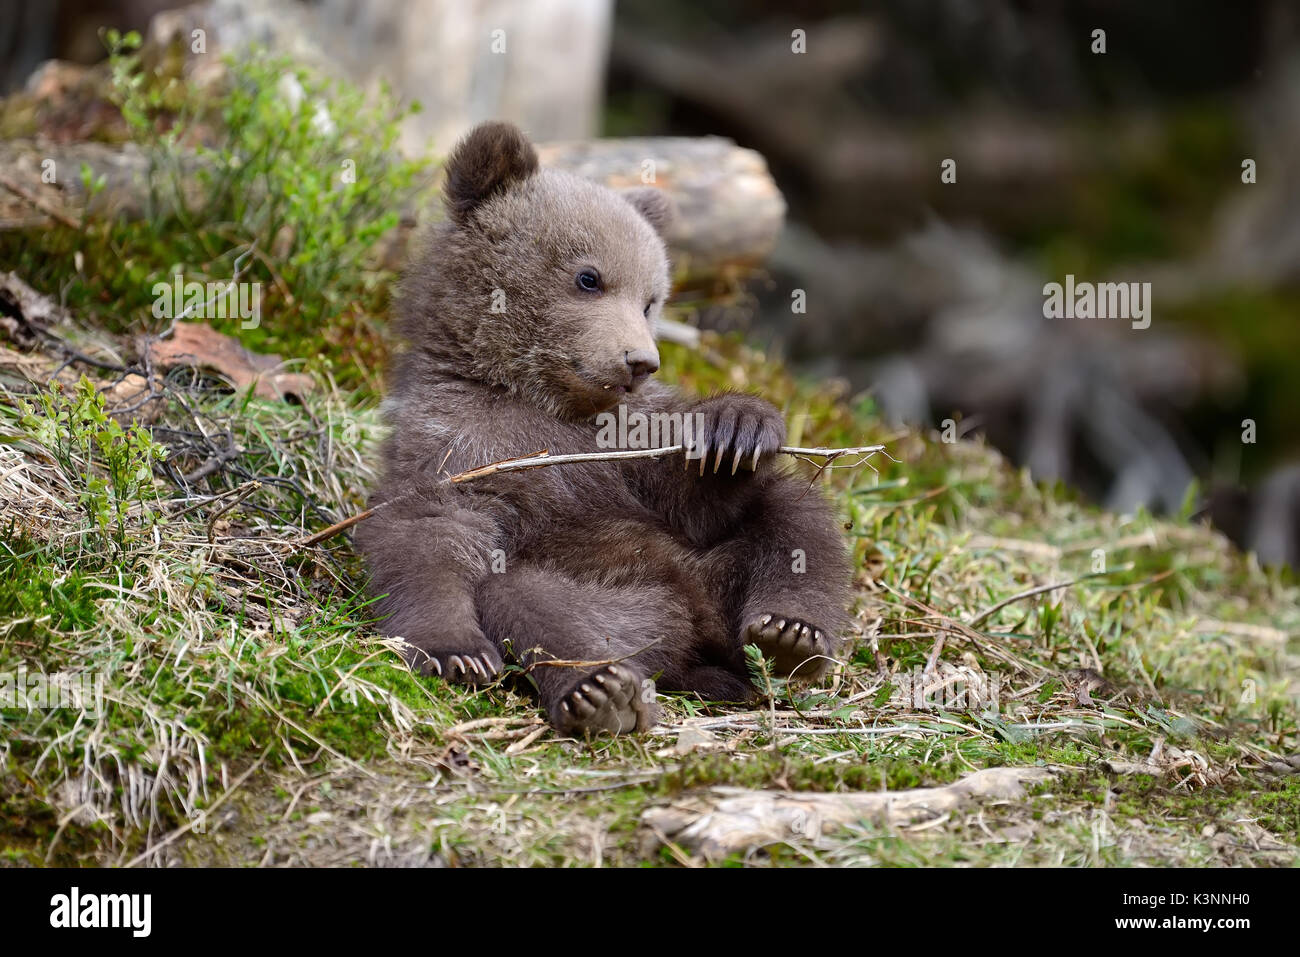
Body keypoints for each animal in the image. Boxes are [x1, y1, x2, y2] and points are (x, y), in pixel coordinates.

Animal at [356, 121, 852, 736]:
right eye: (588, 278)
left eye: (651, 300)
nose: (641, 361)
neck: (539, 397)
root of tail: (694, 626)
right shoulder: (459, 442)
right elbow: (427, 532)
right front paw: (456, 652)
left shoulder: (624, 447)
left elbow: (695, 496)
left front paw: (738, 423)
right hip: (608, 595)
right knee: (530, 599)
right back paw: (600, 689)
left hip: (712, 570)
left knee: (794, 519)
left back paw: (790, 633)